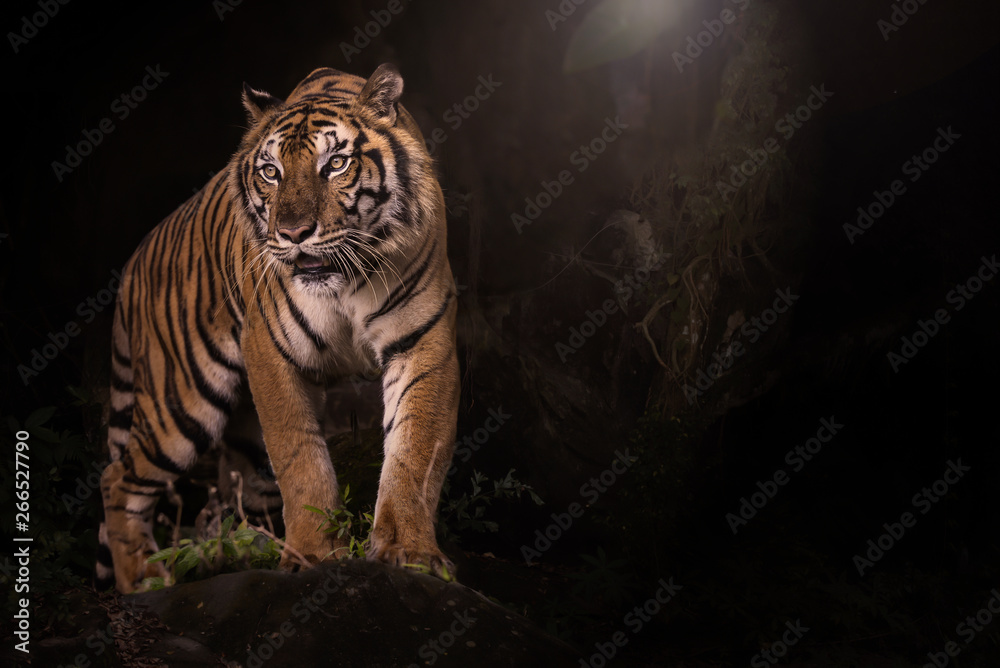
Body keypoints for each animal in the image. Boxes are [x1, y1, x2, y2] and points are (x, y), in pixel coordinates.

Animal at [96, 63, 460, 593]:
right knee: (116, 478)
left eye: (336, 164)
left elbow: (415, 450)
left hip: (234, 430)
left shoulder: (423, 340)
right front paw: (315, 555)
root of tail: (132, 262)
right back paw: (145, 580)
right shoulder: (270, 350)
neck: (347, 282)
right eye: (271, 172)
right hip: (180, 401)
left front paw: (409, 552)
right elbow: (300, 458)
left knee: (231, 495)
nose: (292, 234)